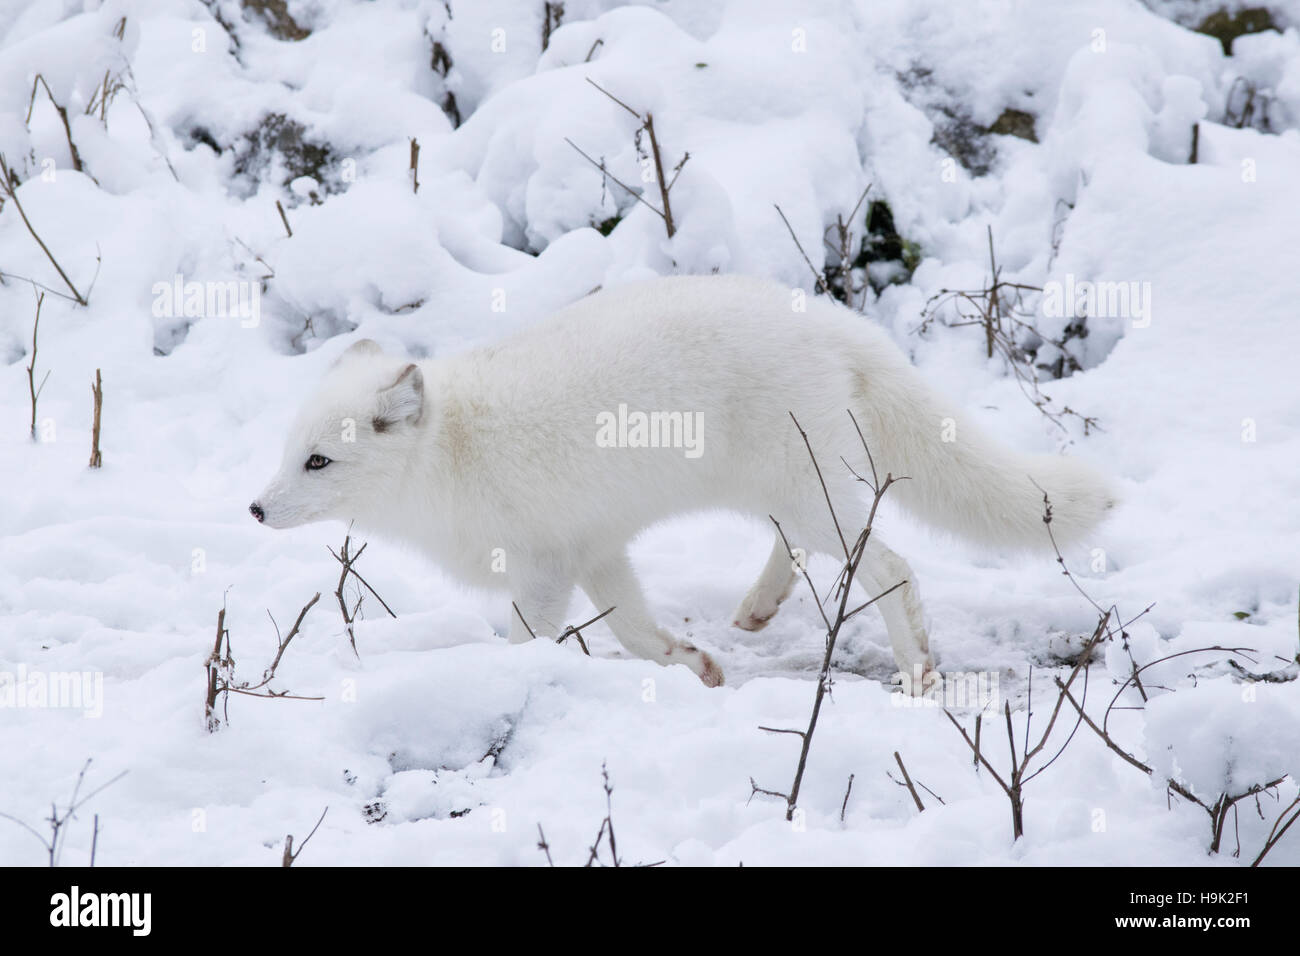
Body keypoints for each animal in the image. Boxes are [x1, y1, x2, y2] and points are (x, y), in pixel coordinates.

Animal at [251, 274, 1115, 690]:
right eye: (287, 452)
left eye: (319, 462)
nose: (255, 508)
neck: (454, 453)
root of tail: (834, 322)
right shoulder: (597, 552)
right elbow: (635, 630)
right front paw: (691, 664)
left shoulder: (545, 566)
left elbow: (529, 639)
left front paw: (515, 678)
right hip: (793, 488)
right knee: (803, 547)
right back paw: (760, 607)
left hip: (808, 491)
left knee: (891, 565)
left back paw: (917, 670)